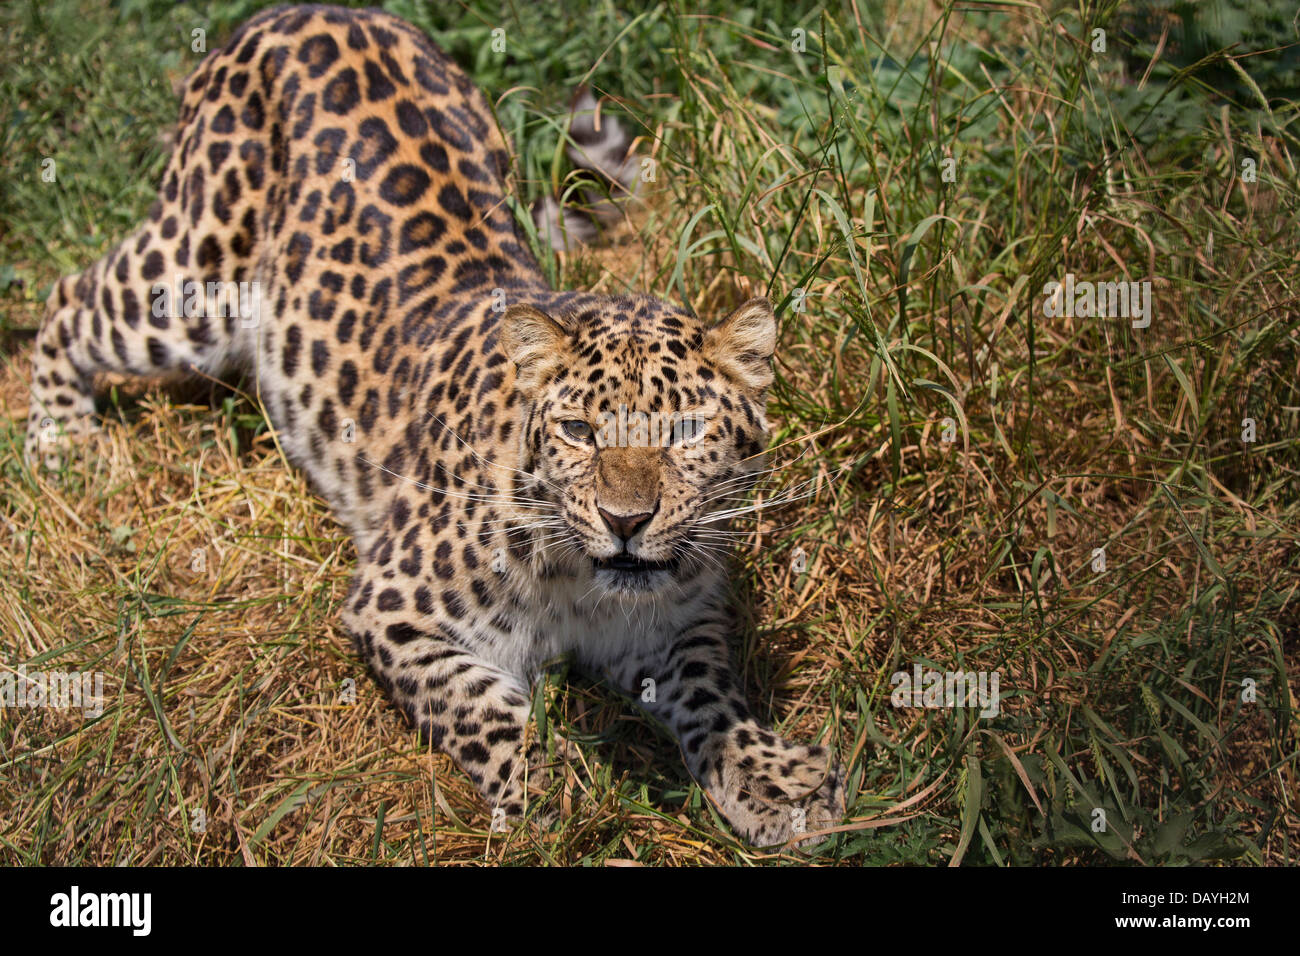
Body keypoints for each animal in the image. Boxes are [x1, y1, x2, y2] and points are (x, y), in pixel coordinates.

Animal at [23, 4, 845, 848]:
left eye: (683, 431)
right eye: (580, 431)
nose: (625, 521)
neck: (585, 588)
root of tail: (309, 10)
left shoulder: (678, 623)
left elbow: (716, 698)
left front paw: (776, 783)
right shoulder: (391, 607)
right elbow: (488, 711)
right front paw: (556, 800)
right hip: (193, 277)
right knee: (70, 295)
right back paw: (60, 442)